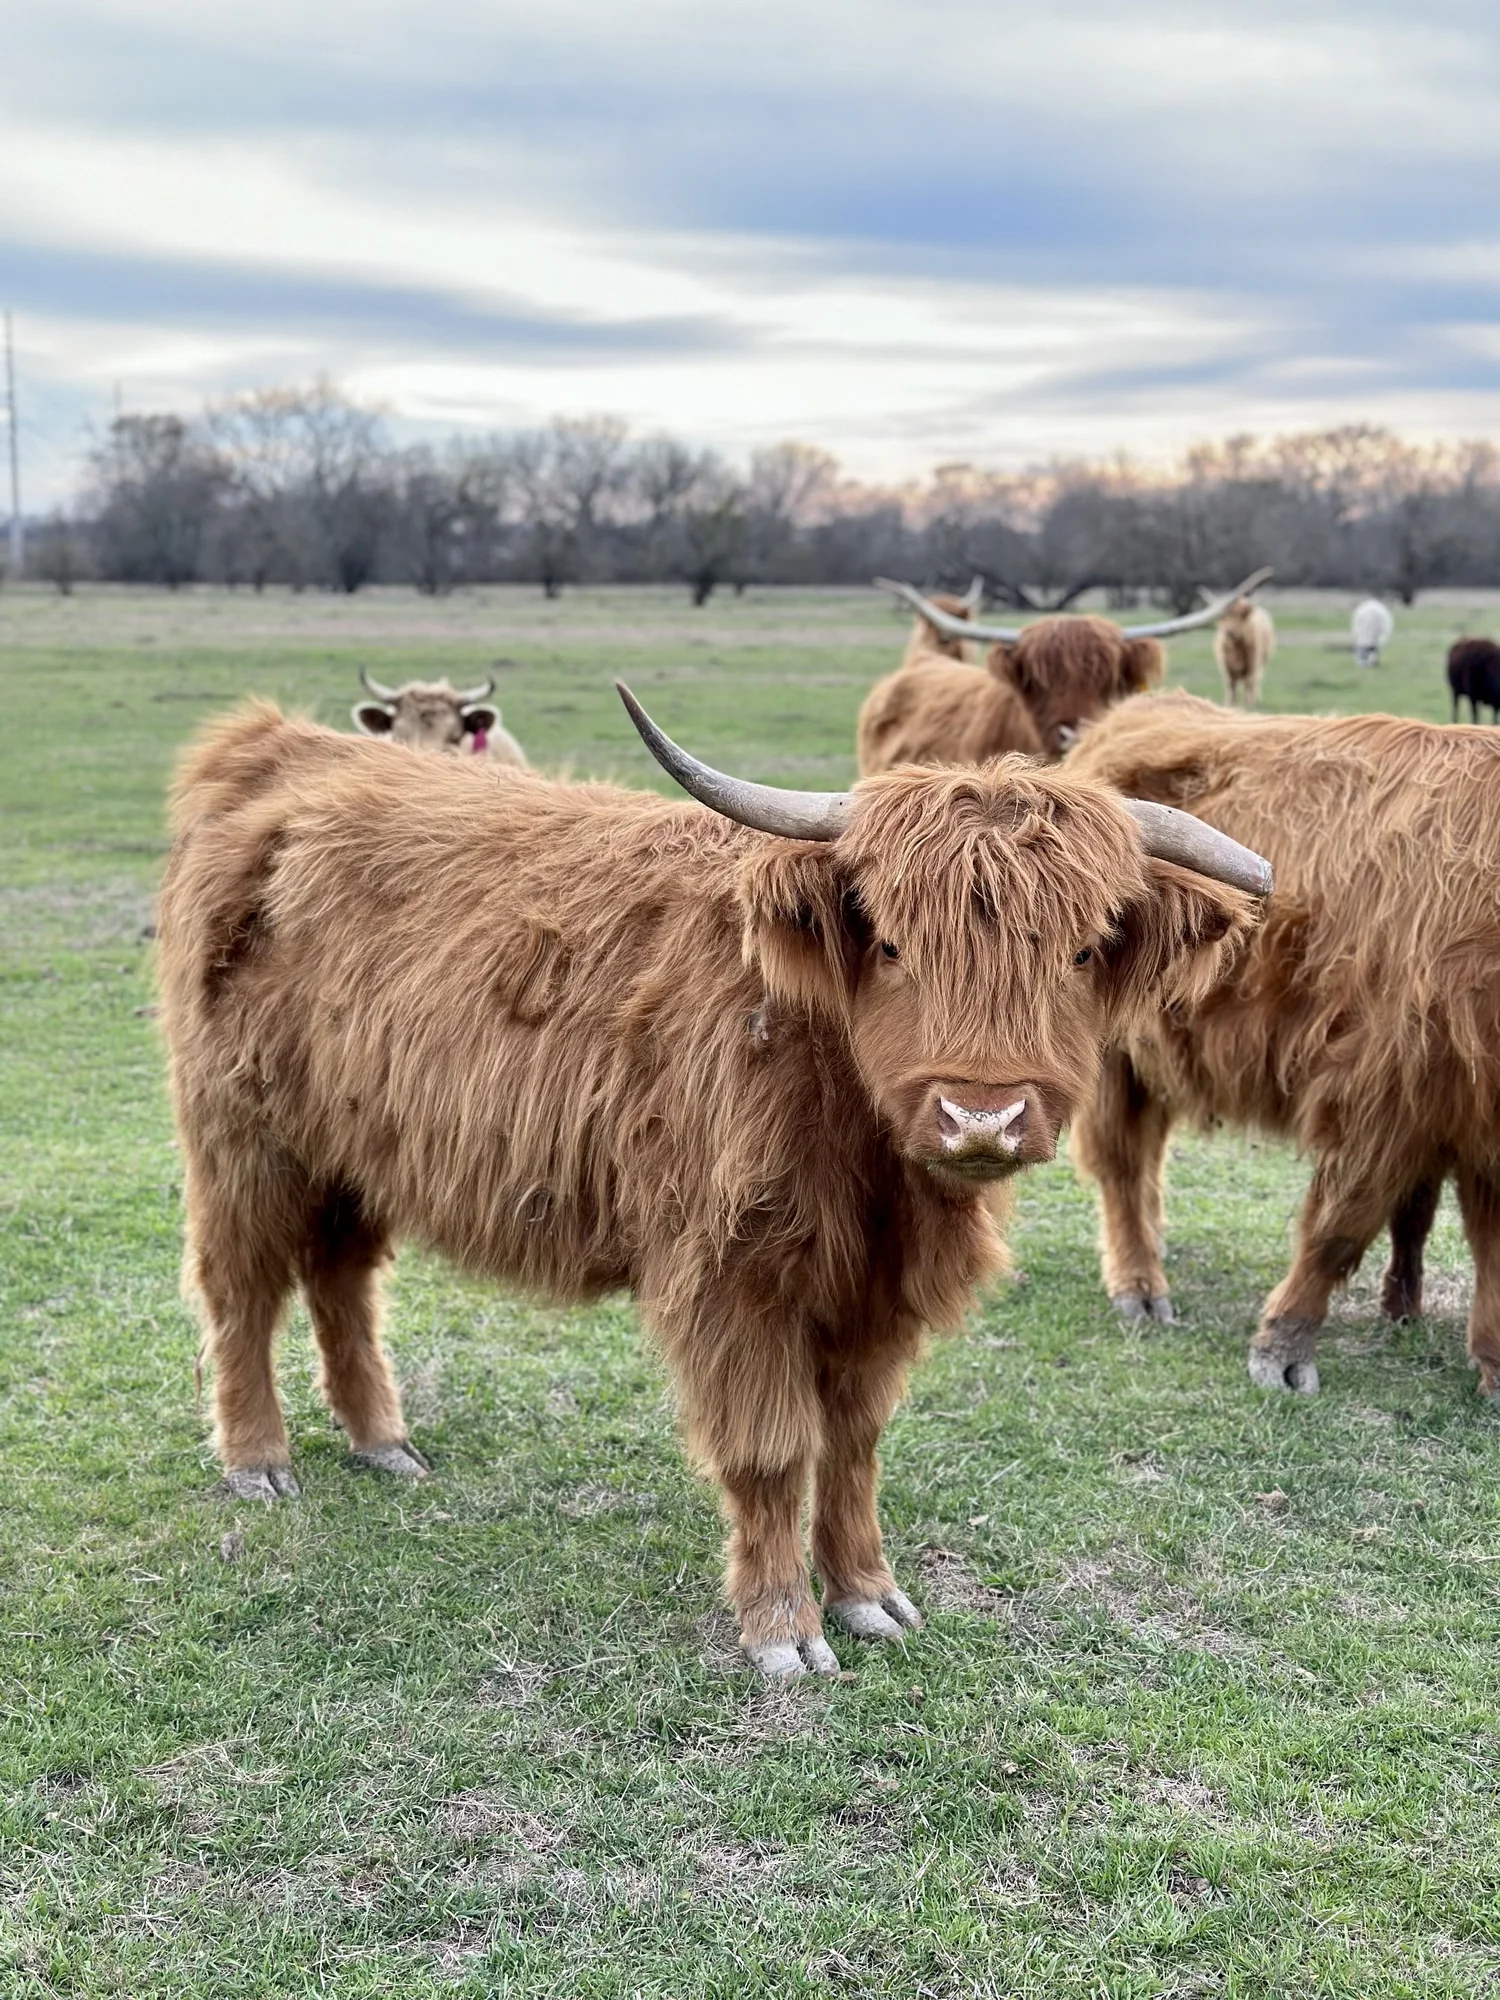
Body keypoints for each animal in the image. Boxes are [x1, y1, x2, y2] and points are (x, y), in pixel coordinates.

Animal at [156, 693, 1266, 1677]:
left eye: (1082, 949)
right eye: (893, 944)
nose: (981, 1115)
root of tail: (279, 745)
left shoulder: (877, 1290)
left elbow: (854, 1442)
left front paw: (869, 1593)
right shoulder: (736, 1279)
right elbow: (773, 1451)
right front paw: (784, 1631)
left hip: (352, 1152)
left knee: (340, 1278)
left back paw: (381, 1440)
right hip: (243, 1136)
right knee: (242, 1285)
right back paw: (258, 1459)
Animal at [1064, 690, 1500, 1399]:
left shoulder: (1470, 1108)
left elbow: (1482, 1237)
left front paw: (1491, 1362)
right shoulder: (1382, 1088)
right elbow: (1340, 1223)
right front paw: (1283, 1349)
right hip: (1111, 1057)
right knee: (1121, 1161)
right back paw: (1140, 1286)